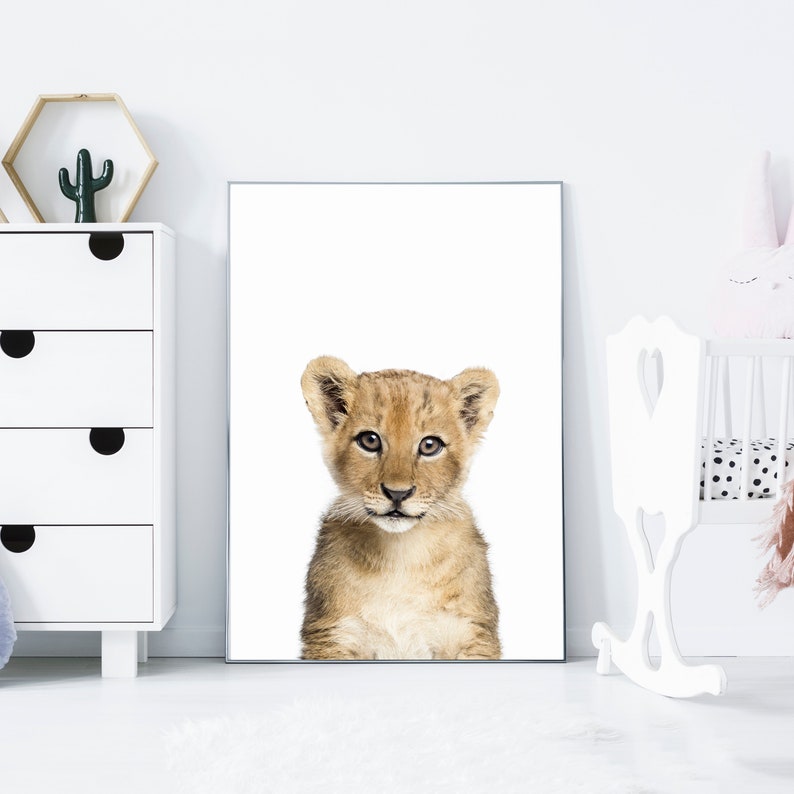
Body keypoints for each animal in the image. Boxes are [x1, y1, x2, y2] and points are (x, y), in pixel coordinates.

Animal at [299, 356, 501, 660]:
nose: (398, 493)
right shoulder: (332, 634)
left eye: (430, 445)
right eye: (370, 440)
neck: (401, 555)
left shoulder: (471, 633)